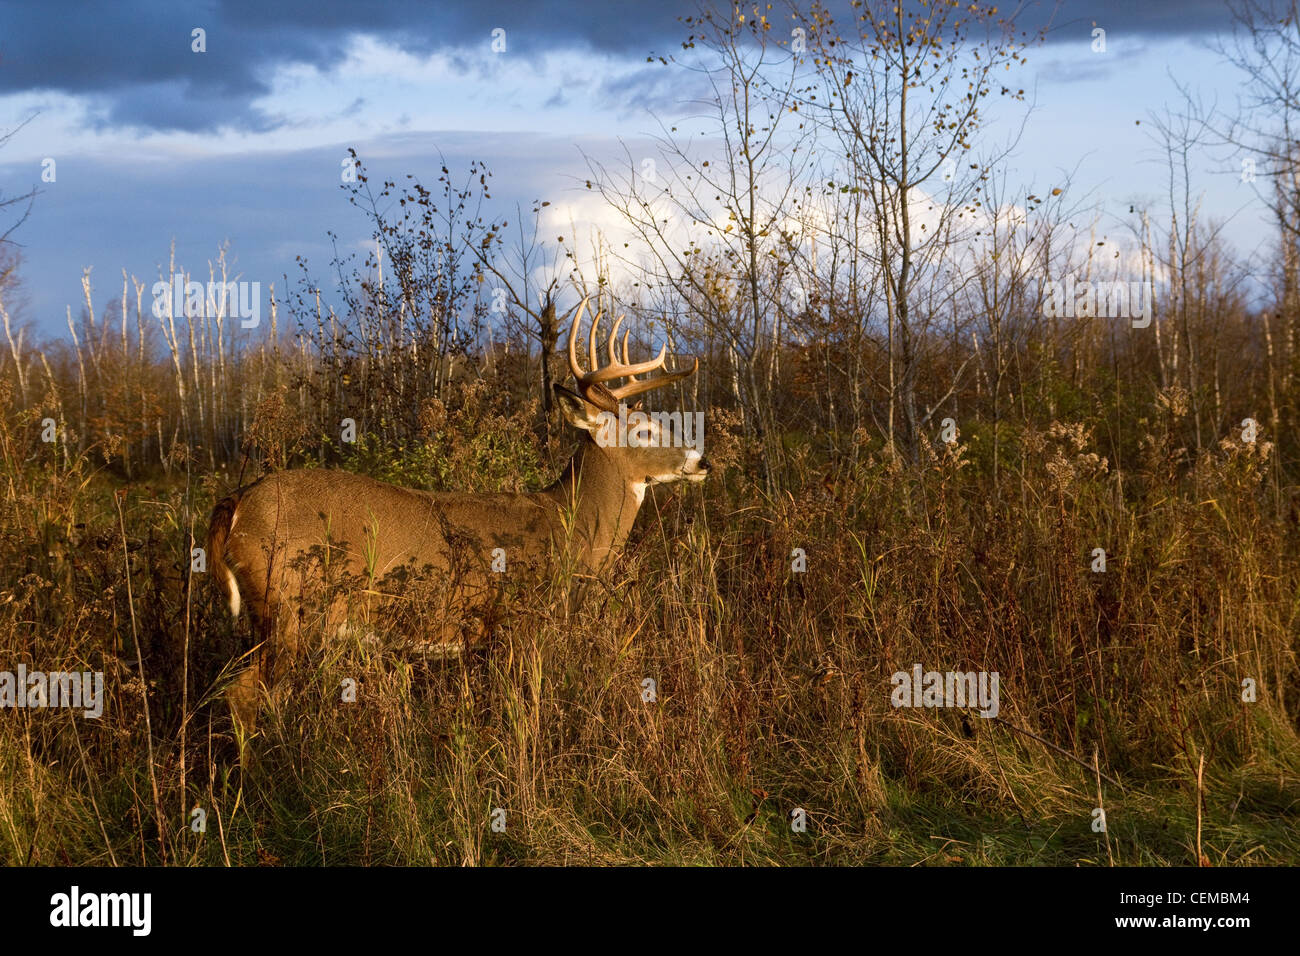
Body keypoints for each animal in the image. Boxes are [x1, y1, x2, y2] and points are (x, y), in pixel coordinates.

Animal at [206, 298, 709, 757]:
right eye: (644, 431)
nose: (701, 461)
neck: (568, 527)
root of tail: (237, 503)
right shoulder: (518, 622)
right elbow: (520, 707)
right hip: (290, 606)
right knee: (242, 693)